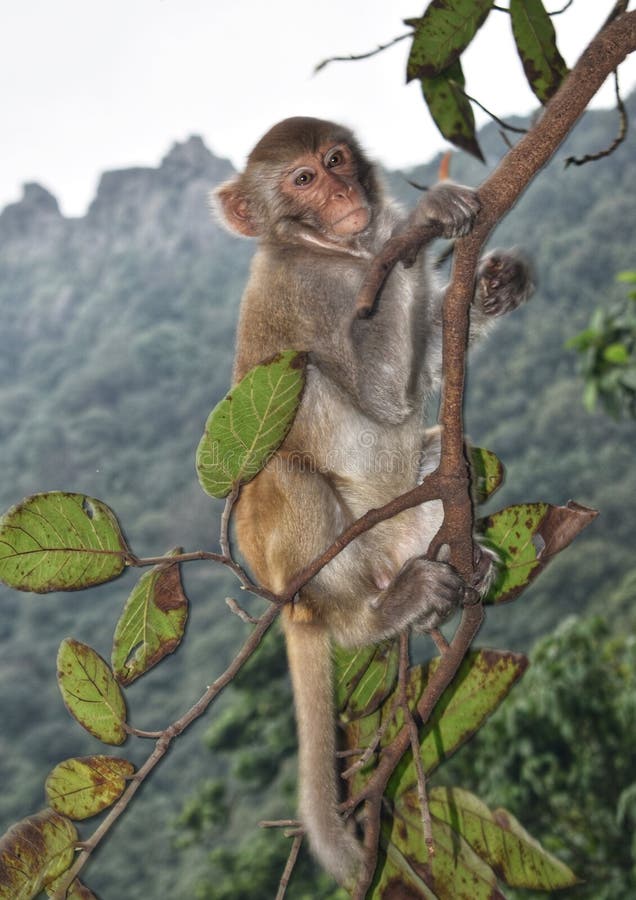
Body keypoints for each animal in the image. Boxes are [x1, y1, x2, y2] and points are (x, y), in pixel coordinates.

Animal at [213, 117, 532, 886]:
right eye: (303, 179)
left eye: (335, 160)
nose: (343, 193)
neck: (329, 251)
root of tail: (296, 603)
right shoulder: (309, 292)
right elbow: (383, 390)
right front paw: (420, 222)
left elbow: (424, 377)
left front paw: (492, 286)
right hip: (315, 566)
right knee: (291, 469)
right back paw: (374, 617)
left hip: (396, 528)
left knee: (444, 459)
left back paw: (453, 569)